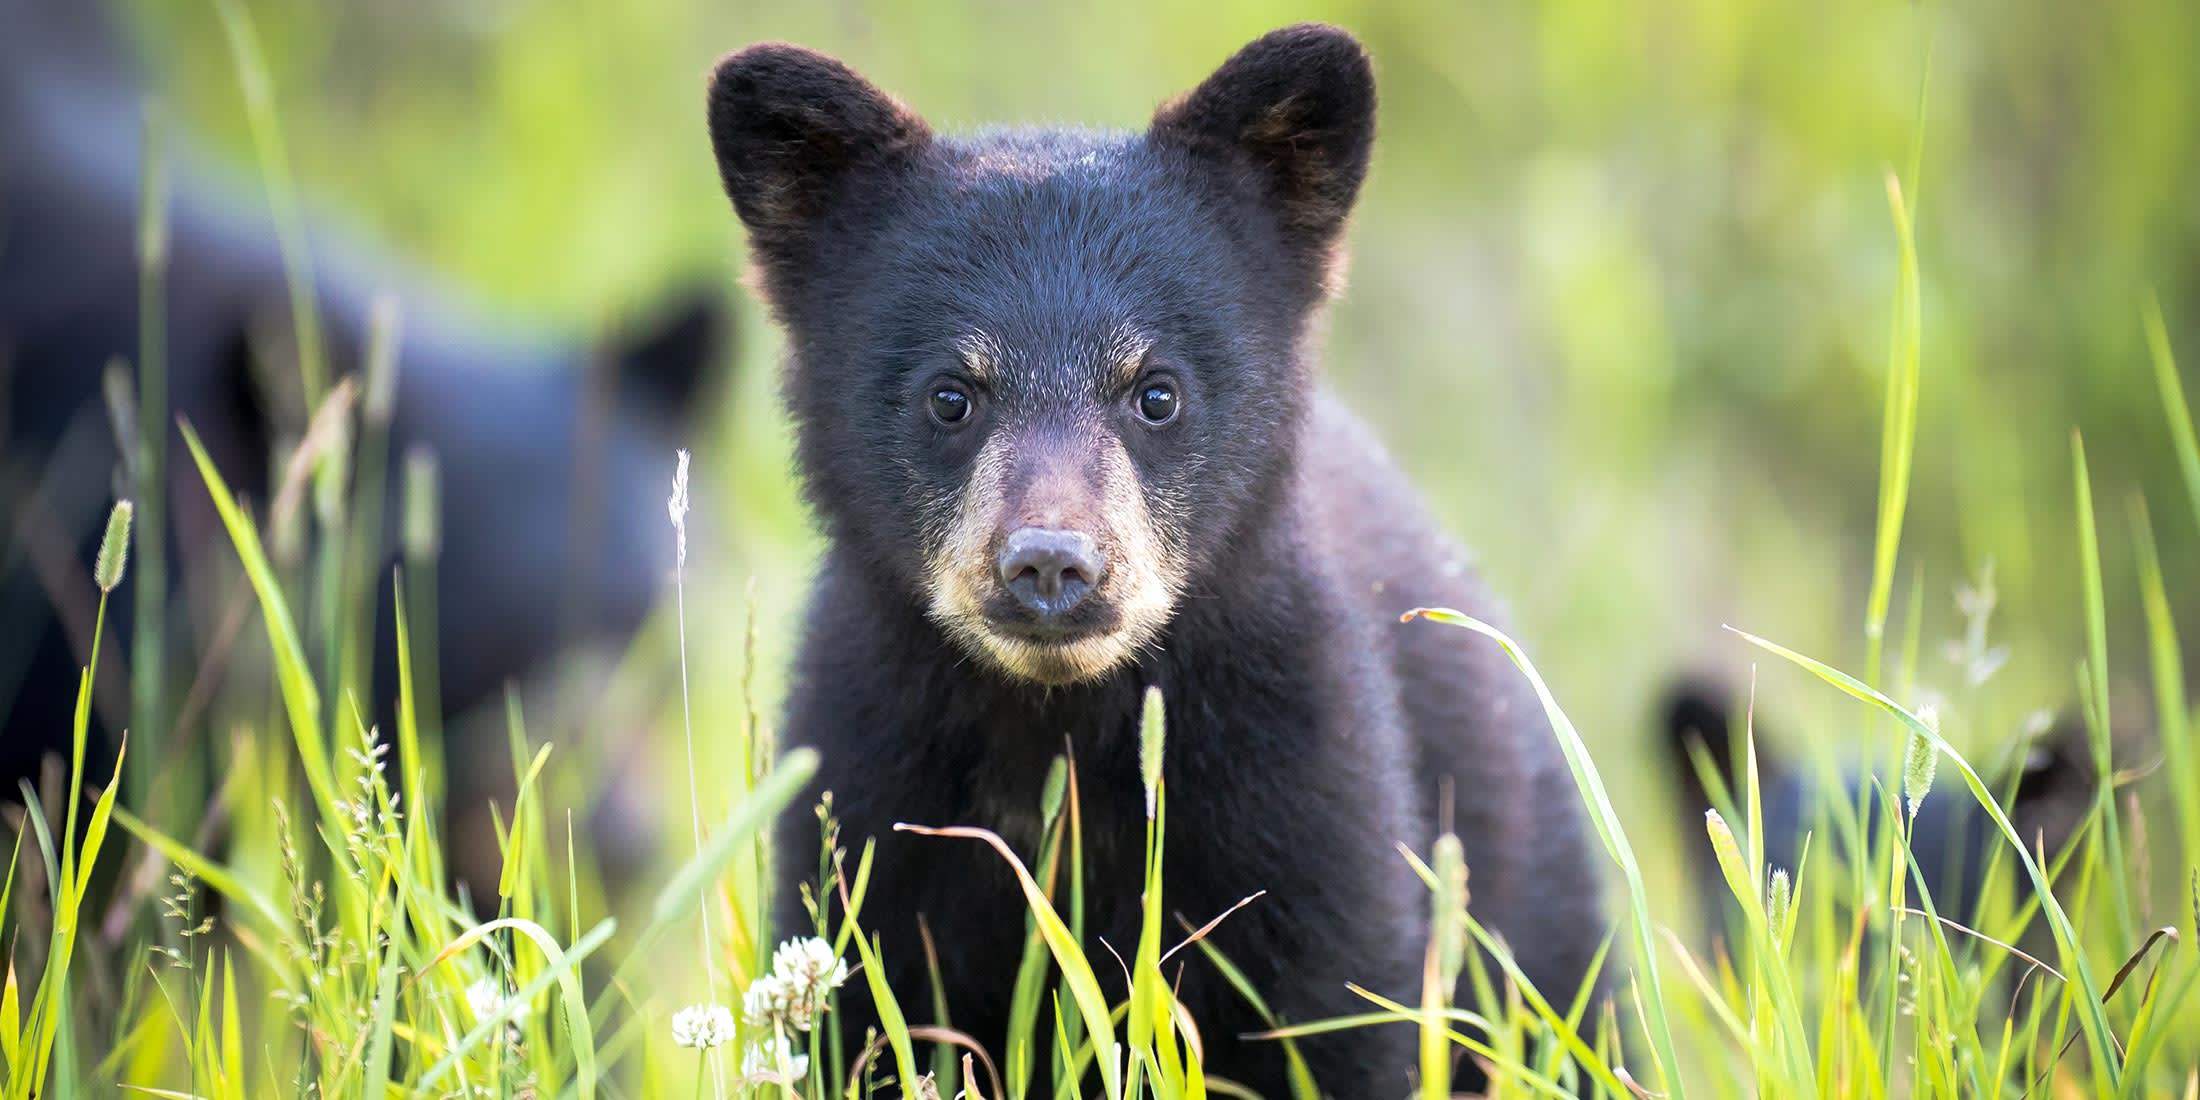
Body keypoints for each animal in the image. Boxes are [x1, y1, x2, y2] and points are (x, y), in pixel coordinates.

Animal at [705, 23, 1606, 1097]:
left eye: (1157, 392)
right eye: (950, 395)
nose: (1051, 566)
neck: (1060, 732)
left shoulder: (1301, 790)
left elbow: (1339, 1014)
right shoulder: (873, 786)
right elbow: (866, 1013)